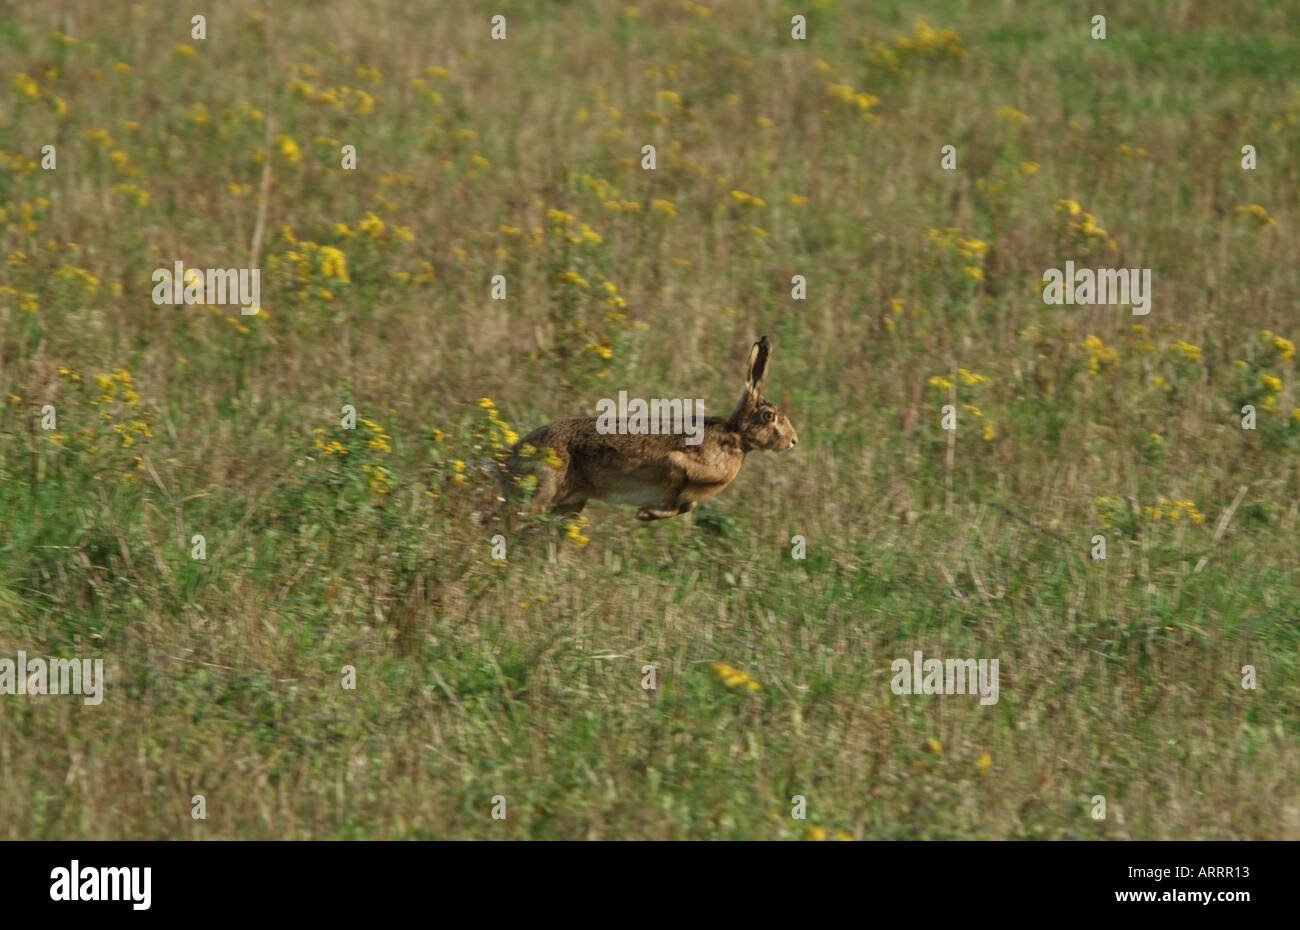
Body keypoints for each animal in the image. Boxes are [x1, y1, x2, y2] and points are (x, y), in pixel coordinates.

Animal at [495, 336, 797, 521]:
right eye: (769, 416)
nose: (793, 441)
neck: (736, 437)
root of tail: (510, 458)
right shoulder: (676, 465)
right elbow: (677, 503)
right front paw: (645, 514)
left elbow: (688, 505)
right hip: (543, 487)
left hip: (571, 502)